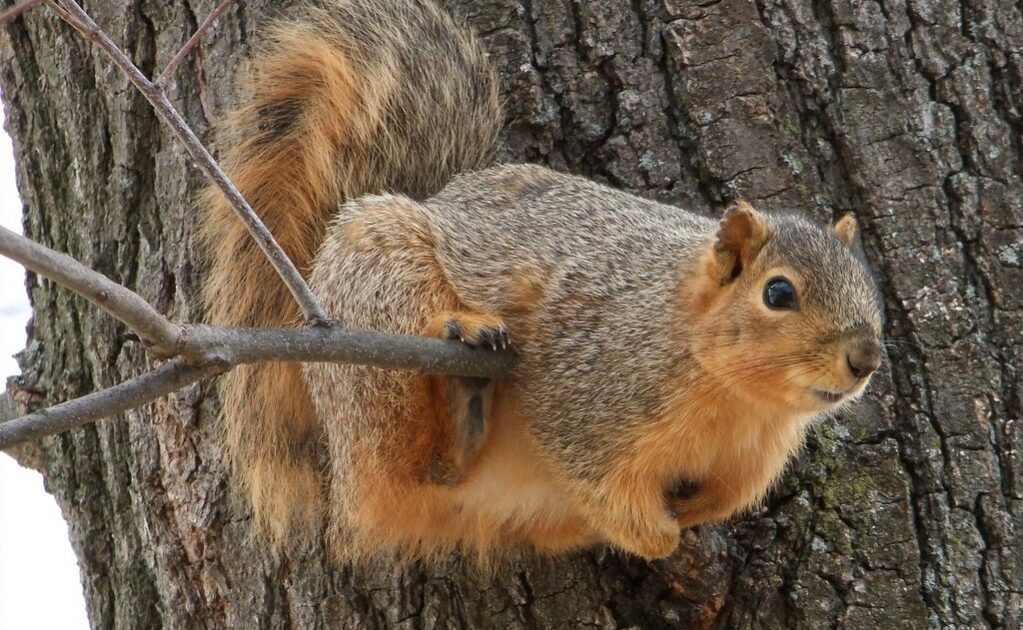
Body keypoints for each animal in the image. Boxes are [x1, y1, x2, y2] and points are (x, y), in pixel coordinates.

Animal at [200, 0, 884, 563]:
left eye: (870, 290)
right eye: (778, 294)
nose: (866, 359)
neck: (737, 399)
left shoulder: (752, 456)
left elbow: (727, 496)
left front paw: (692, 516)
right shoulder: (587, 393)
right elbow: (598, 481)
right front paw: (660, 538)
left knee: (442, 475)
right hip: (378, 298)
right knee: (403, 448)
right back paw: (463, 358)